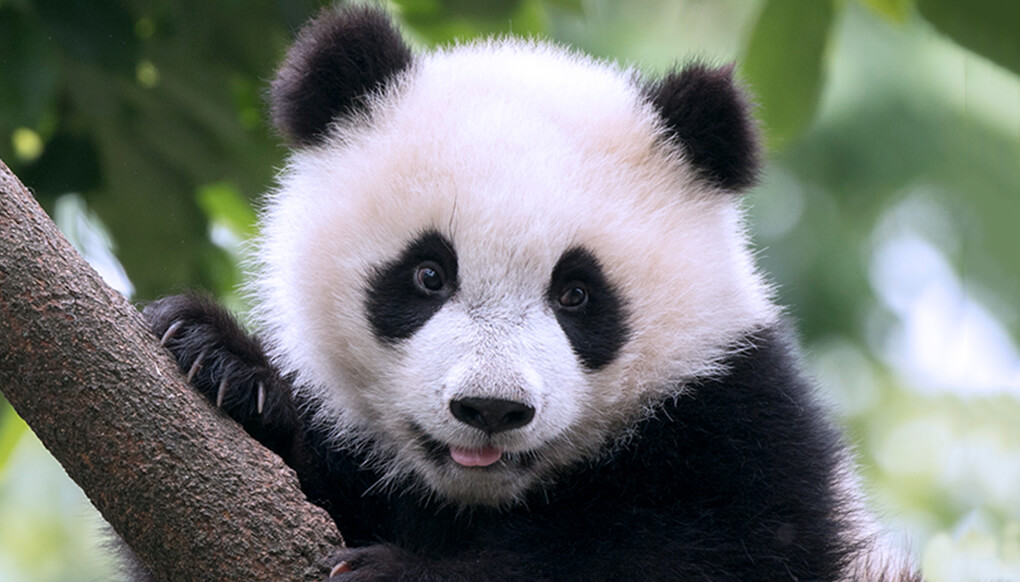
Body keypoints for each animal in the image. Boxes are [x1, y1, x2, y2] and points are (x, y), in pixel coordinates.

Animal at [143, 4, 921, 581]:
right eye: (429, 275)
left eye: (576, 294)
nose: (491, 408)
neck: (478, 500)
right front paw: (223, 363)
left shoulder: (742, 422)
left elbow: (699, 554)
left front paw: (397, 573)